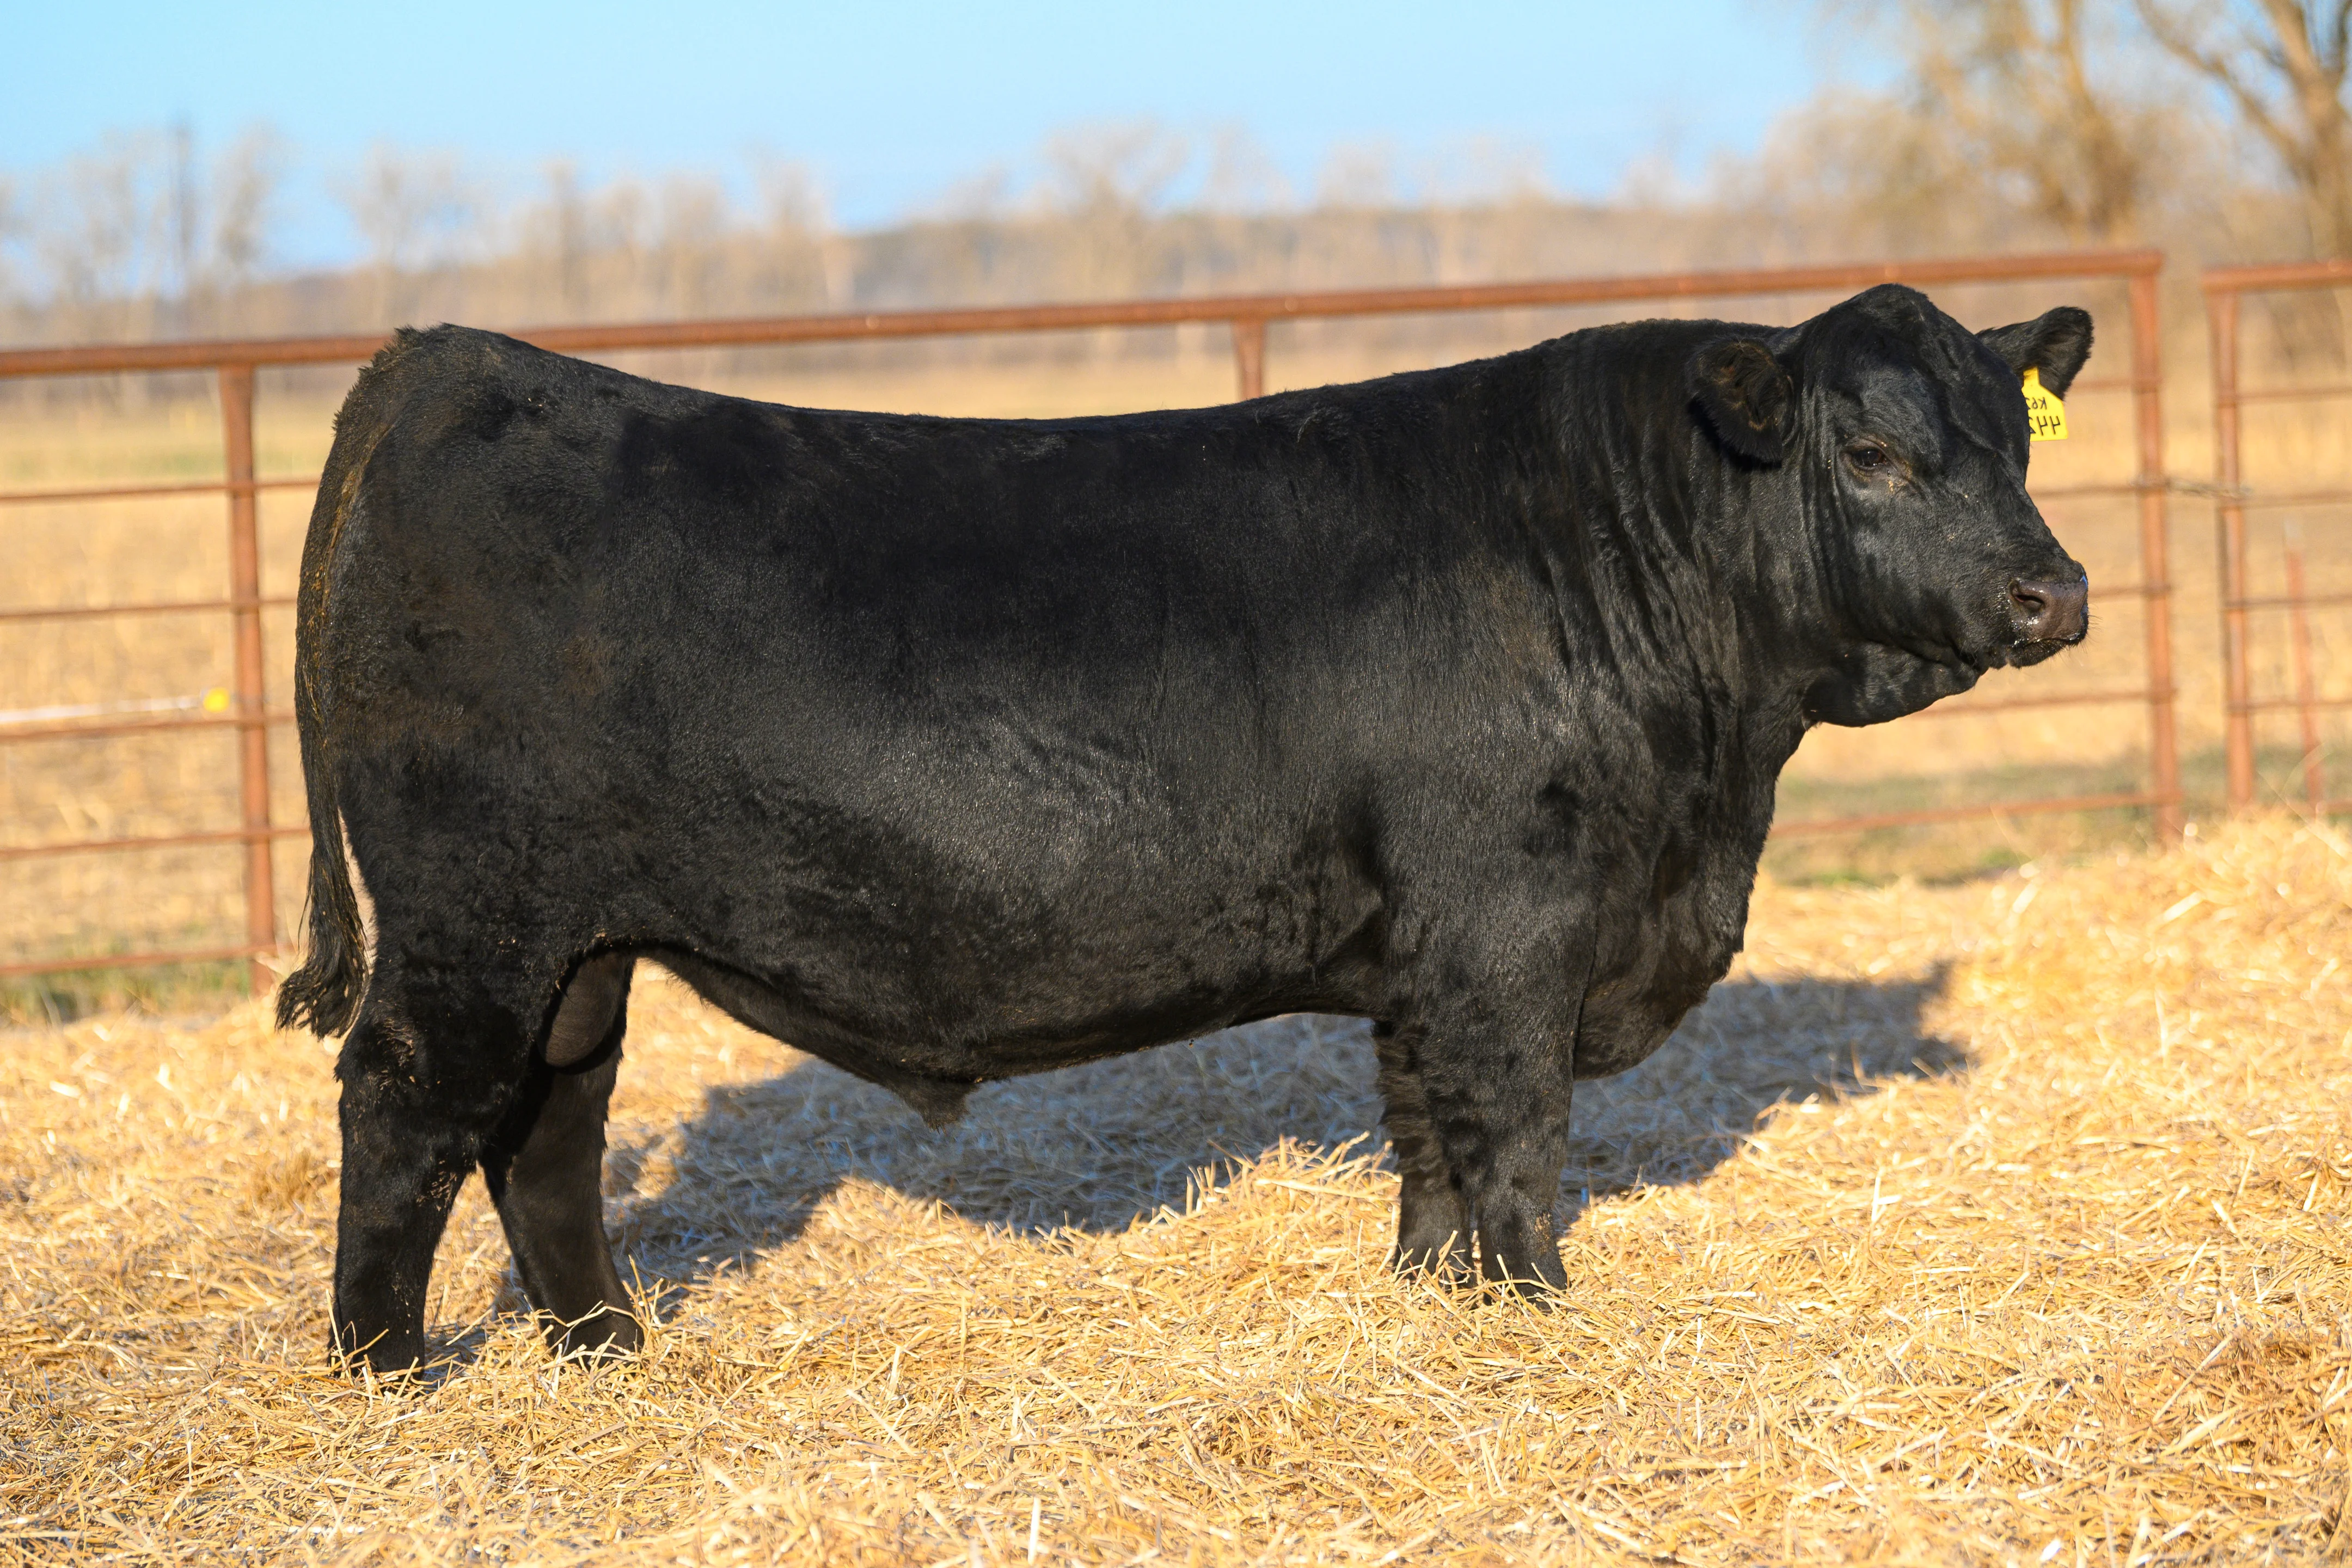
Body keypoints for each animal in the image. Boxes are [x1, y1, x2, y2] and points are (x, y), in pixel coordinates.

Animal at [277, 284, 2092, 1373]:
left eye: (2014, 441)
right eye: (1870, 451)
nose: (2053, 593)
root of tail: (456, 355)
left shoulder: (1422, 947)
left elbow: (1425, 1133)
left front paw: (1429, 1300)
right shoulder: (1510, 925)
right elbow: (1515, 1132)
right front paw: (1531, 1314)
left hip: (580, 946)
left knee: (548, 1129)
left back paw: (605, 1342)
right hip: (475, 919)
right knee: (408, 1106)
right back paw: (386, 1373)